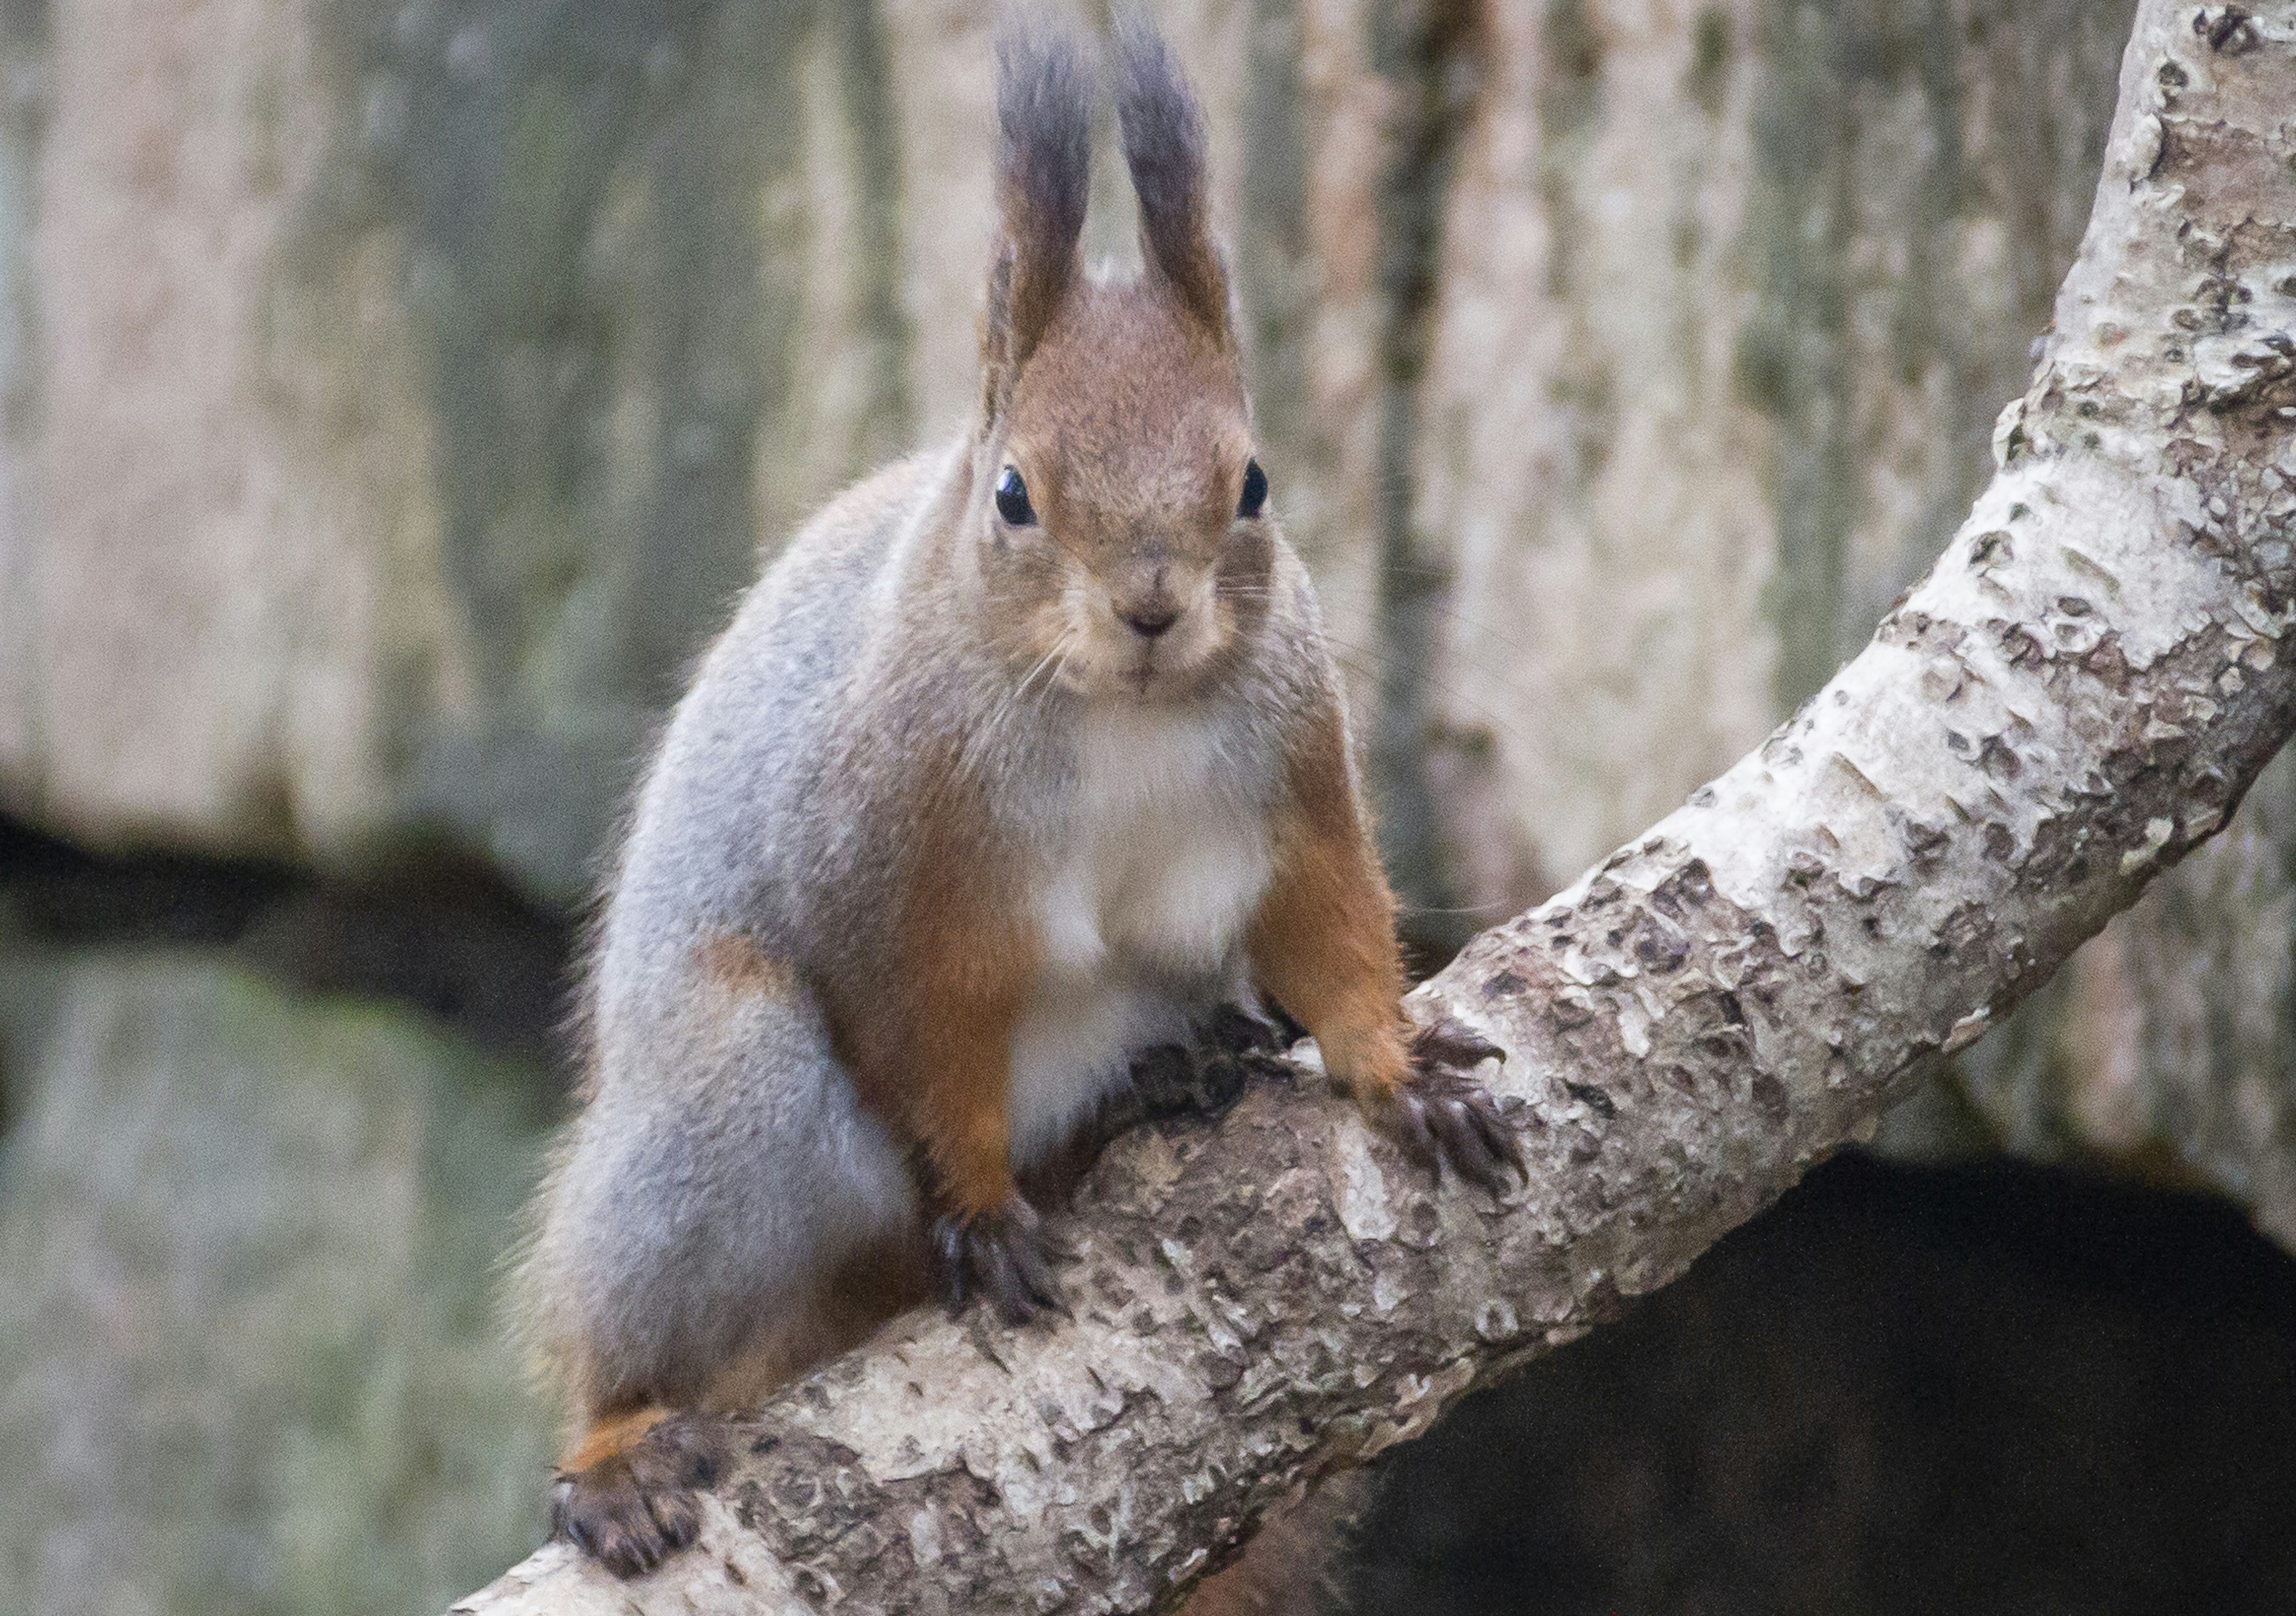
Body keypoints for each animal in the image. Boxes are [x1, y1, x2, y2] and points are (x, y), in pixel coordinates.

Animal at [513, 11, 1520, 1581]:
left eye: (1253, 481)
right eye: (1011, 494)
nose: (1152, 606)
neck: (1120, 712)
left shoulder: (1295, 783)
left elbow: (1333, 934)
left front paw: (1397, 1067)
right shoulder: (890, 872)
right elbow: (924, 1046)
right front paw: (983, 1207)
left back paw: (1170, 1077)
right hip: (717, 1095)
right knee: (639, 1314)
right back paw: (618, 1447)